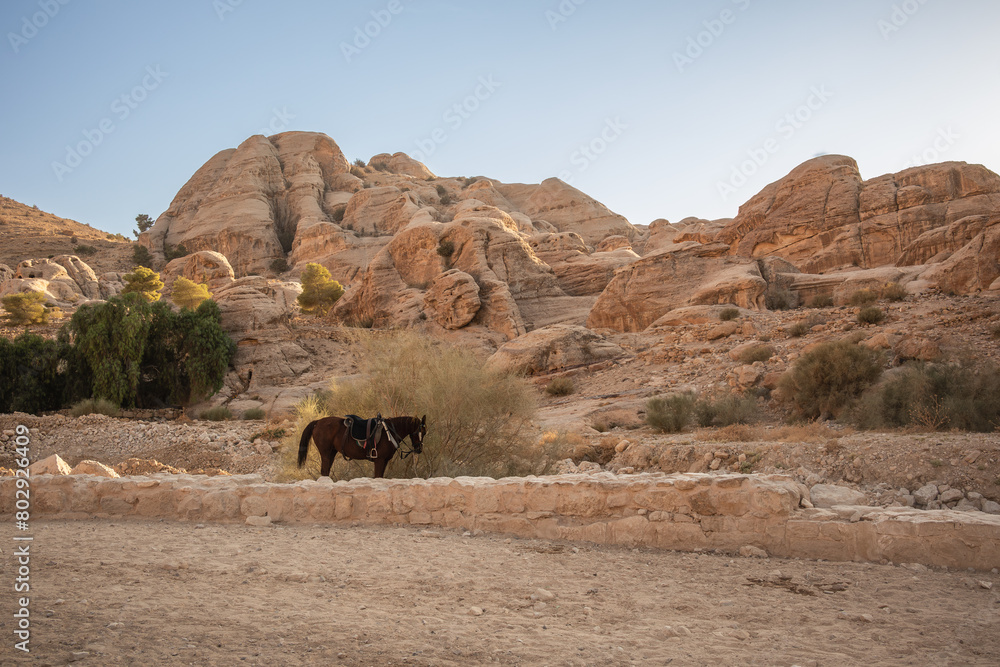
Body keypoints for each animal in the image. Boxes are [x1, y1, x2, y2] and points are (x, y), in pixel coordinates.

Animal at [297, 414, 426, 479]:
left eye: (424, 433)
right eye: (418, 432)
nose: (419, 449)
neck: (389, 431)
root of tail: (317, 422)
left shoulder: (384, 461)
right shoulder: (379, 460)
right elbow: (377, 477)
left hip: (331, 453)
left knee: (326, 471)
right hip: (325, 453)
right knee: (324, 471)